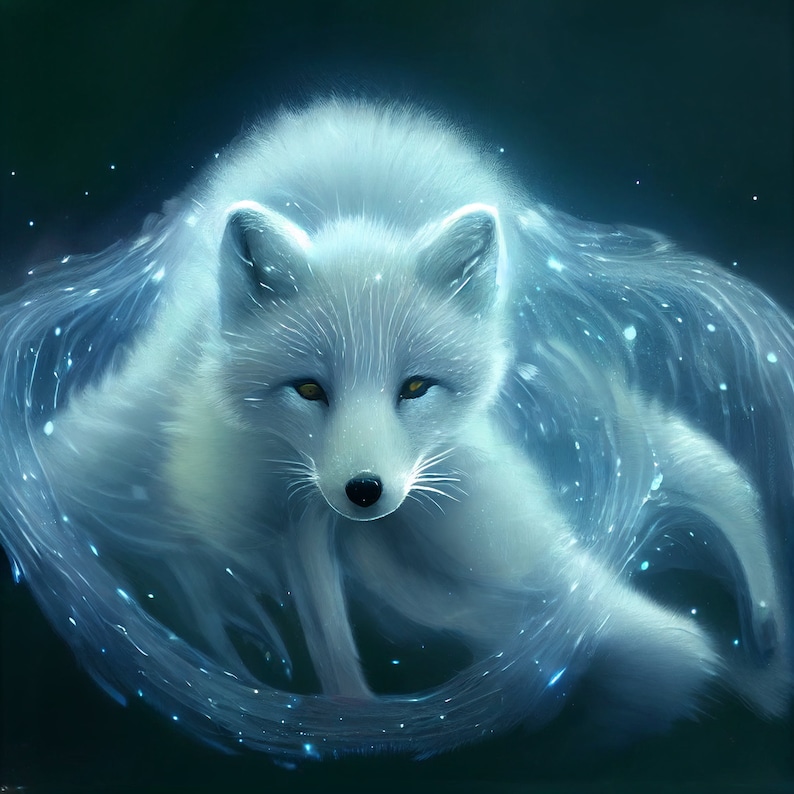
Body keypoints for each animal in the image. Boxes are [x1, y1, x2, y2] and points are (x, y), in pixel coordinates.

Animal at [0, 99, 791, 759]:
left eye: (414, 387)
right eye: (308, 388)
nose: (364, 489)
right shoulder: (289, 516)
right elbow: (322, 626)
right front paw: (349, 716)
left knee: (680, 472)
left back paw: (747, 630)